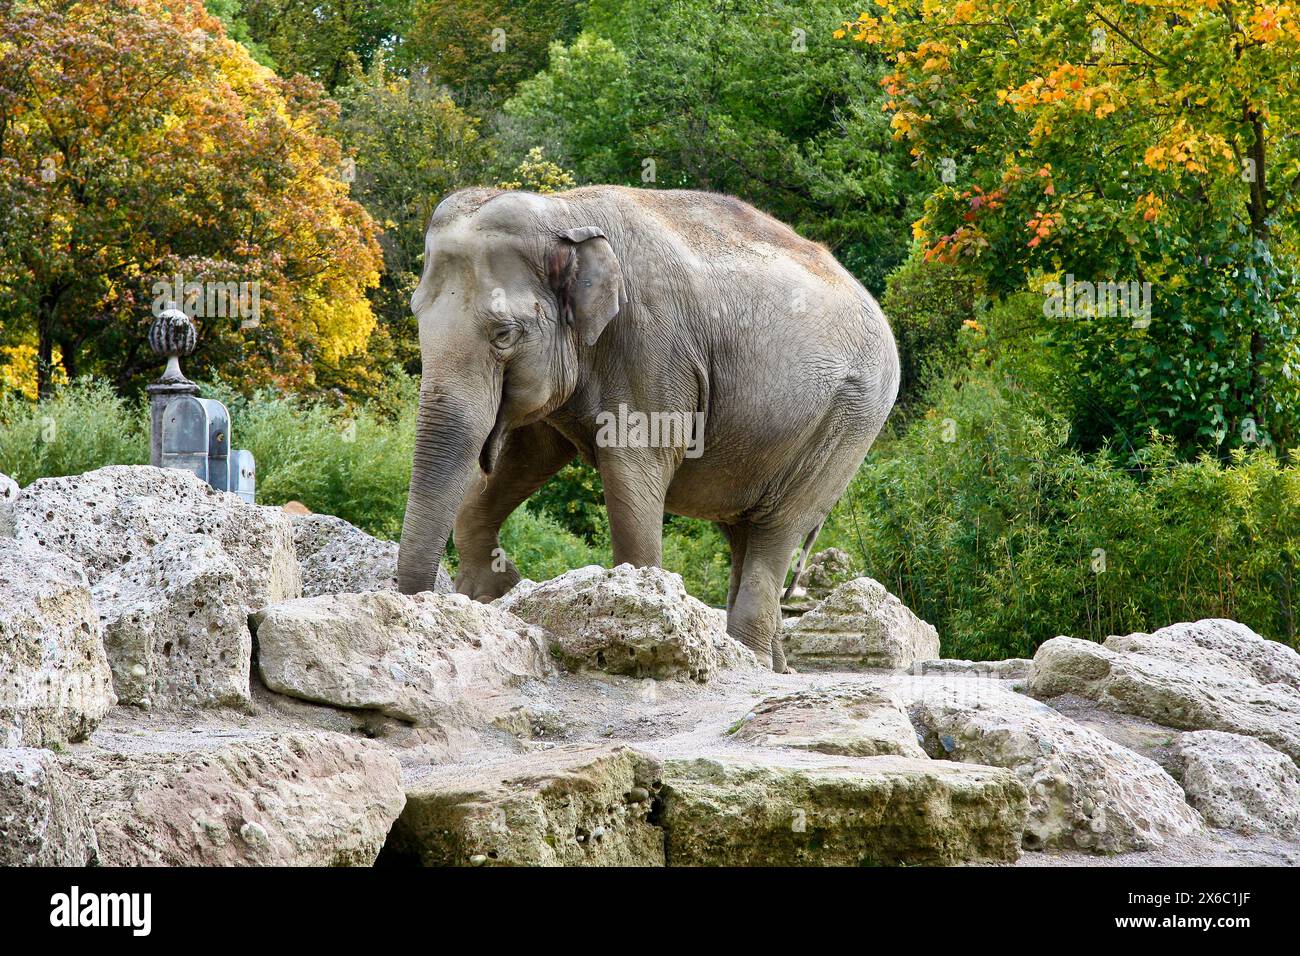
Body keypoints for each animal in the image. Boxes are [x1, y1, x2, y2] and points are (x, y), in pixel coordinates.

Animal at [396, 185, 899, 671]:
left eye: (504, 334)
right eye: (416, 315)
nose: (422, 608)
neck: (564, 211)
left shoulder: (652, 349)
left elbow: (633, 471)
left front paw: (637, 615)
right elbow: (530, 456)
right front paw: (493, 593)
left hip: (849, 423)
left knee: (779, 528)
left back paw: (749, 661)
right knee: (746, 534)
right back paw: (769, 666)